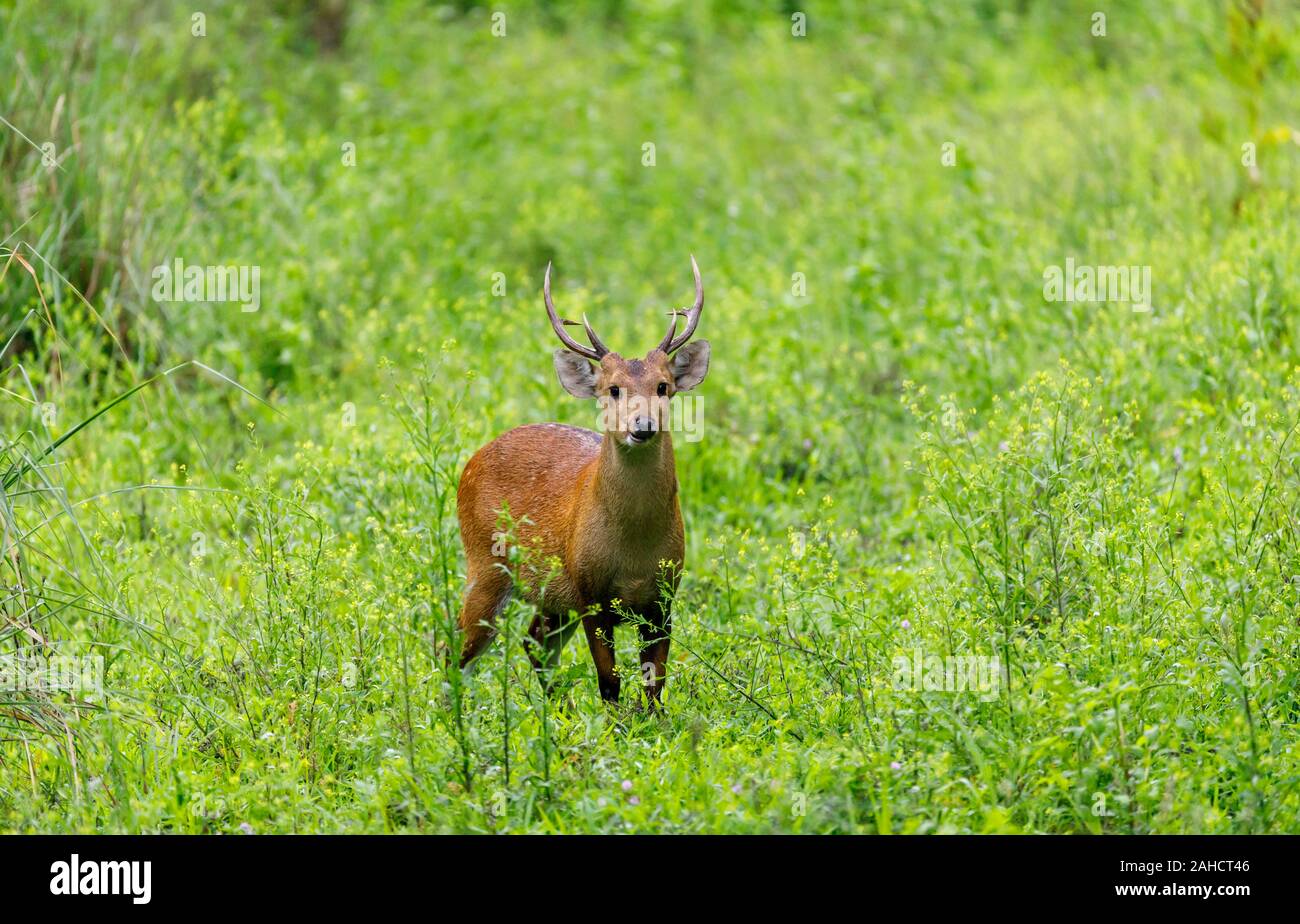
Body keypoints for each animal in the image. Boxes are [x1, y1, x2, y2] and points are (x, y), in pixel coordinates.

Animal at [454, 258, 710, 708]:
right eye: (613, 389)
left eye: (663, 386)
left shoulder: (664, 597)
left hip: (552, 598)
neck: (634, 553)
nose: (642, 426)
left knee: (533, 640)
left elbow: (654, 686)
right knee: (456, 646)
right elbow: (610, 683)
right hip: (485, 562)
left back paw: (558, 709)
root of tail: (472, 460)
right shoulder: (591, 593)